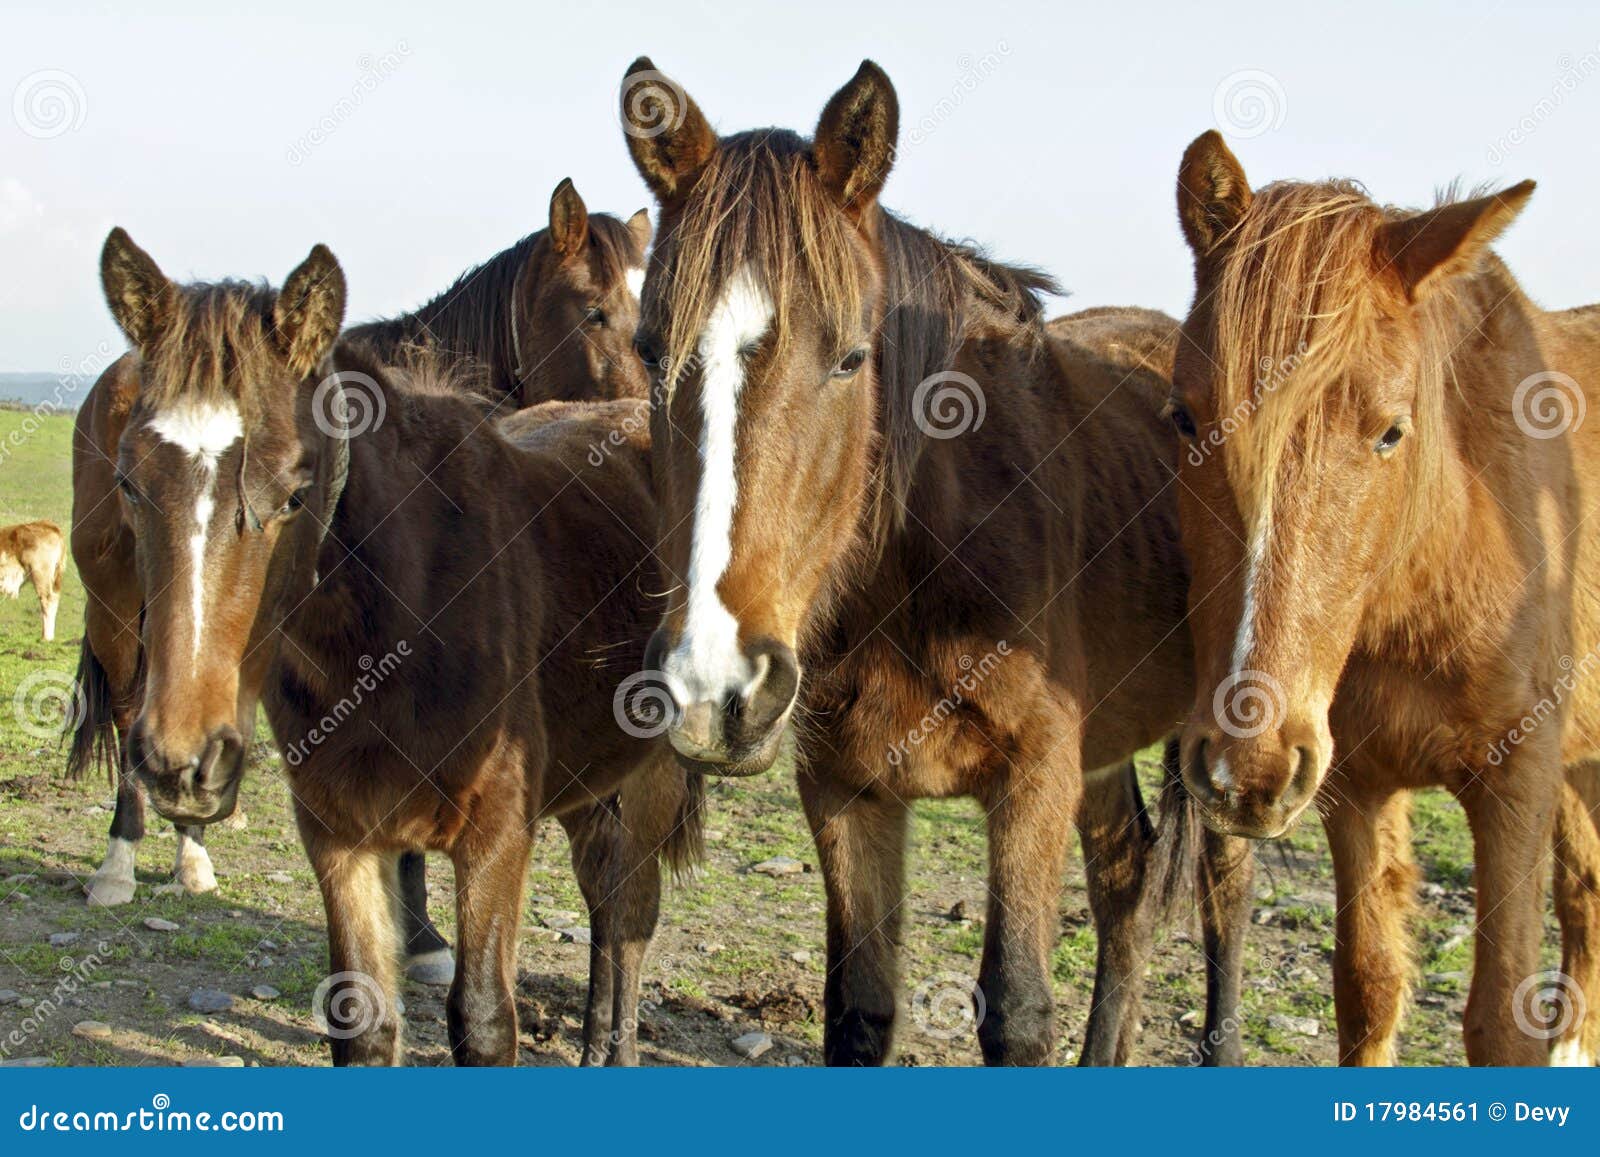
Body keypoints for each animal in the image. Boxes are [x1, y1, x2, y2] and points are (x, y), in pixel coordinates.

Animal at [92, 227, 697, 1065]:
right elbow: (364, 1022)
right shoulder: (339, 835)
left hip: (649, 773)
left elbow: (484, 1020)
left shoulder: (497, 836)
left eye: (295, 492)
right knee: (604, 899)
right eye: (128, 481)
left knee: (630, 912)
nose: (182, 760)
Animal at [618, 58, 1251, 1065]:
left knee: (1225, 886)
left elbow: (1019, 1009)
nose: (715, 691)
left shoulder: (1034, 782)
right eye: (648, 352)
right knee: (1126, 883)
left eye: (850, 357)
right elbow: (861, 1008)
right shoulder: (846, 789)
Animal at [1169, 130, 1600, 1066]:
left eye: (1392, 431)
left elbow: (1500, 1016)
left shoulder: (1518, 782)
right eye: (1184, 417)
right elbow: (1368, 986)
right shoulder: (1356, 785)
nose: (1243, 765)